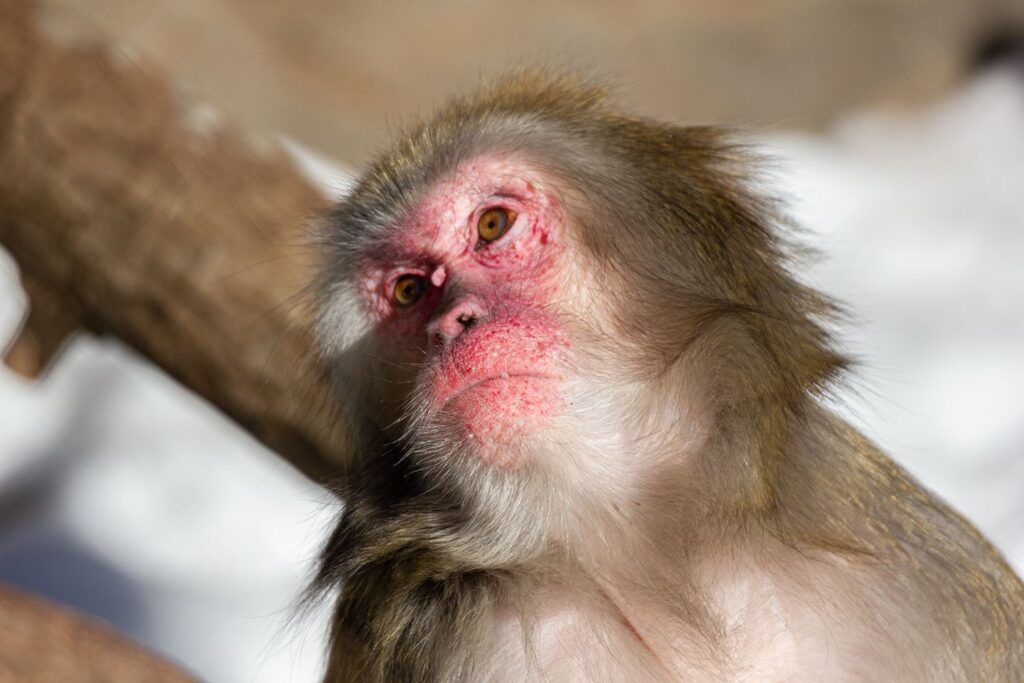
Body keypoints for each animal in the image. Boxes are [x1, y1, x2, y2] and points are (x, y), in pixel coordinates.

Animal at [309, 70, 1024, 682]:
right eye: (408, 292)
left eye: (492, 225)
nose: (452, 324)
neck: (653, 557)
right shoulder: (466, 642)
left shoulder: (932, 586)